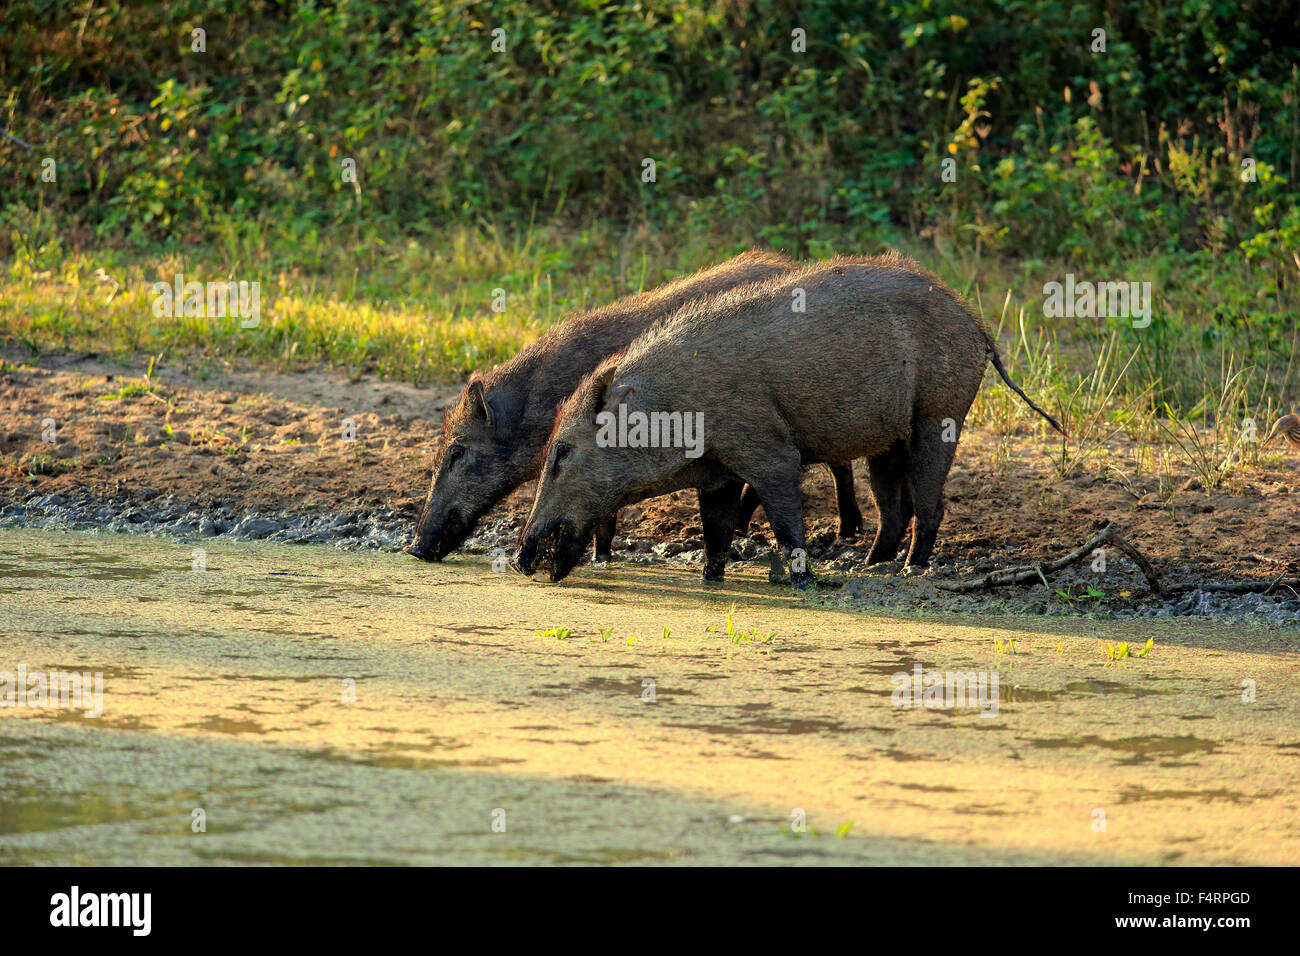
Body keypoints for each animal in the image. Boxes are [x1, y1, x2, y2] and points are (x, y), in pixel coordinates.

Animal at [515, 252, 1065, 587]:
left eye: (561, 451)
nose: (520, 559)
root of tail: (977, 324)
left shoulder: (769, 449)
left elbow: (784, 518)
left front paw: (804, 580)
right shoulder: (716, 472)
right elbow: (714, 530)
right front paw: (711, 580)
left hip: (940, 414)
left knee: (931, 505)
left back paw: (911, 569)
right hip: (888, 440)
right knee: (893, 508)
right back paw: (872, 565)